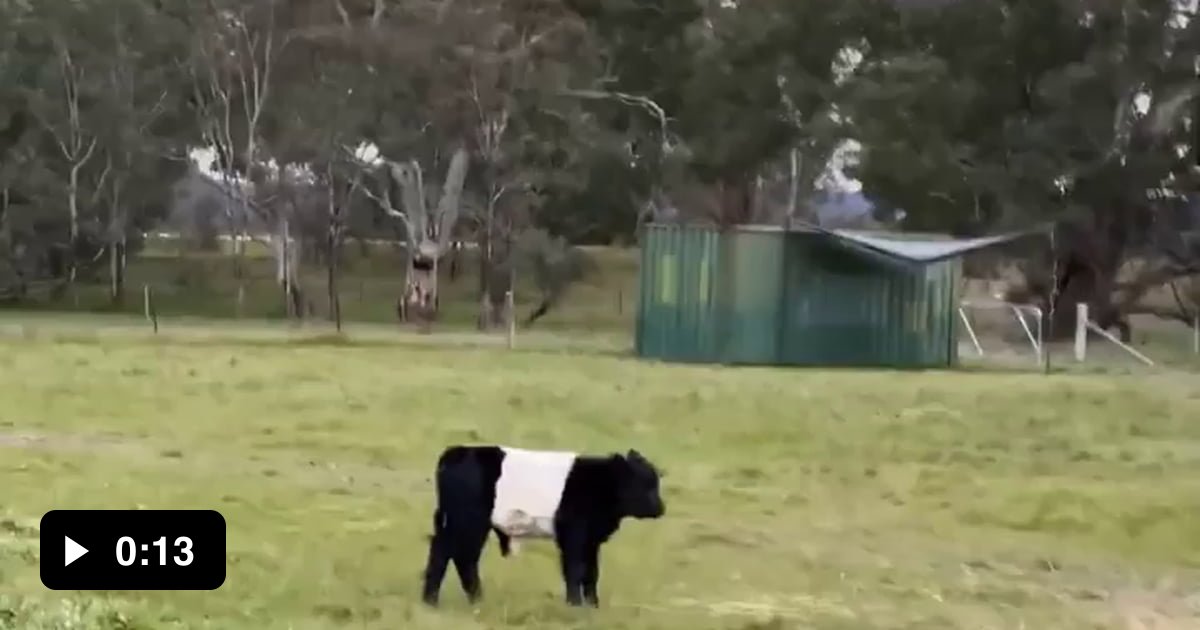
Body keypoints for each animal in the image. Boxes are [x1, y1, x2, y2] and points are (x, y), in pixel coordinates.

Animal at [420, 444, 666, 608]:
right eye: (644, 483)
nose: (661, 508)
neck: (601, 483)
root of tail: (457, 451)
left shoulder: (591, 540)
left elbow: (592, 572)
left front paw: (593, 606)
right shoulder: (574, 534)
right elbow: (575, 569)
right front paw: (575, 606)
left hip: (454, 521)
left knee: (448, 553)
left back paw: (445, 600)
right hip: (468, 521)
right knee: (458, 556)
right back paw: (459, 600)